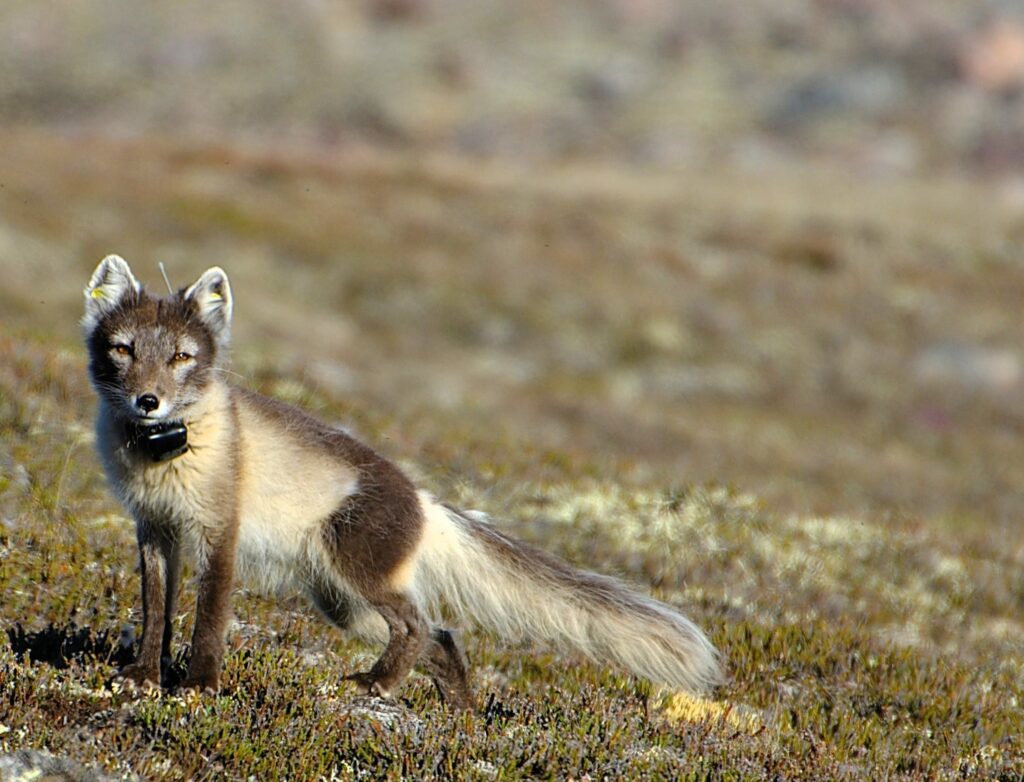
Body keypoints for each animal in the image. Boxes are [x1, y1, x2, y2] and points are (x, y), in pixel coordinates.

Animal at [82, 254, 722, 708]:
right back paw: (458, 711)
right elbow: (157, 610)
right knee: (444, 637)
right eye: (124, 349)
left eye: (182, 357)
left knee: (418, 626)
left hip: (355, 571)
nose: (148, 401)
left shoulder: (220, 531)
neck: (162, 455)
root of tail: (425, 500)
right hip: (342, 601)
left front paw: (197, 685)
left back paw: (377, 686)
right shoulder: (154, 529)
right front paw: (142, 676)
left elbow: (209, 618)